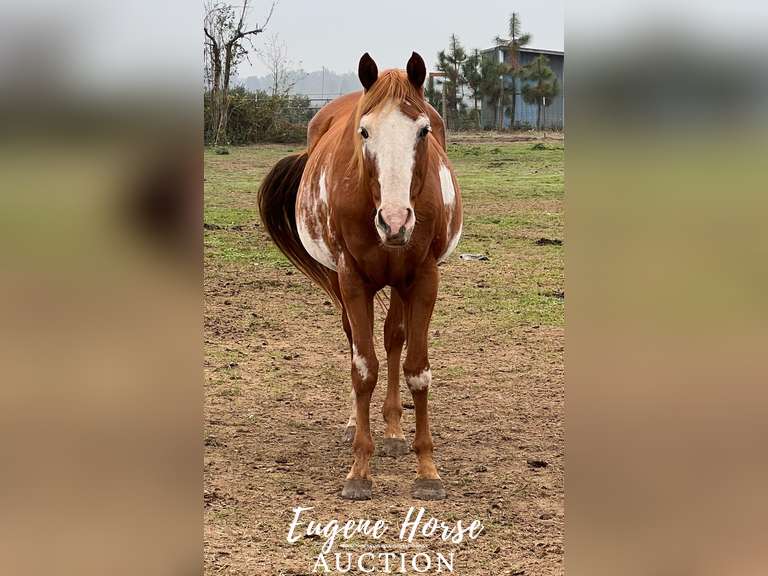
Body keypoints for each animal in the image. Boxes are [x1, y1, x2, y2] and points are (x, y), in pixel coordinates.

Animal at [258, 52, 462, 500]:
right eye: (364, 131)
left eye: (423, 131)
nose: (395, 221)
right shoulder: (352, 279)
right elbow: (364, 367)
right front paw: (359, 470)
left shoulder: (423, 278)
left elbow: (417, 370)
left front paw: (427, 471)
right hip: (342, 280)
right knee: (357, 341)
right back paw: (356, 422)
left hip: (400, 282)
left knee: (393, 339)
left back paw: (394, 430)